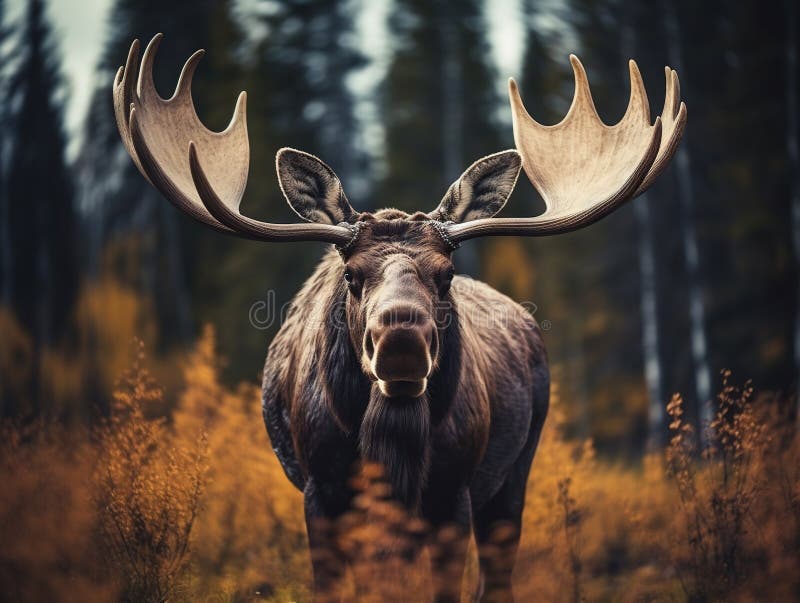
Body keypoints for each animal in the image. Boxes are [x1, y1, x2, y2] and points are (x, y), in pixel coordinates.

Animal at [113, 34, 686, 603]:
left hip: (514, 472)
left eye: (447, 272)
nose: (402, 341)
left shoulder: (452, 491)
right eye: (350, 273)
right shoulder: (321, 490)